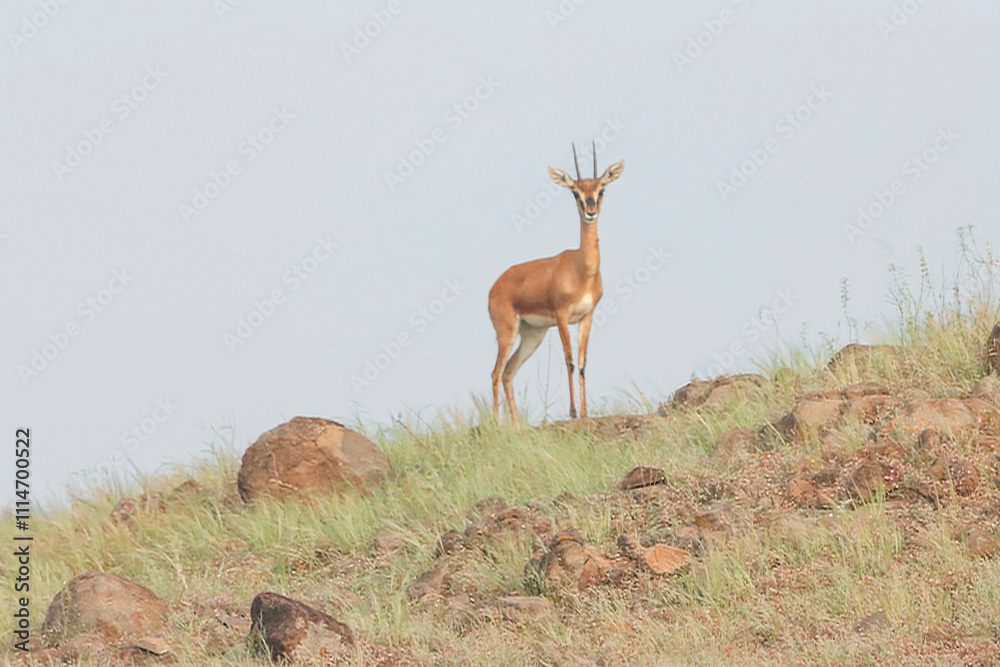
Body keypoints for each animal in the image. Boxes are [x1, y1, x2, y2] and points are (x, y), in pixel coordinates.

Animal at [489, 143, 624, 426]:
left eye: (601, 189)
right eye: (575, 192)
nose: (590, 212)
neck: (581, 270)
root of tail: (495, 286)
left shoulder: (586, 317)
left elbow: (582, 363)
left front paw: (584, 413)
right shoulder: (562, 315)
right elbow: (569, 360)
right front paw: (572, 413)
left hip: (533, 335)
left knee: (508, 372)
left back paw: (516, 426)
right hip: (507, 333)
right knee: (496, 373)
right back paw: (497, 425)